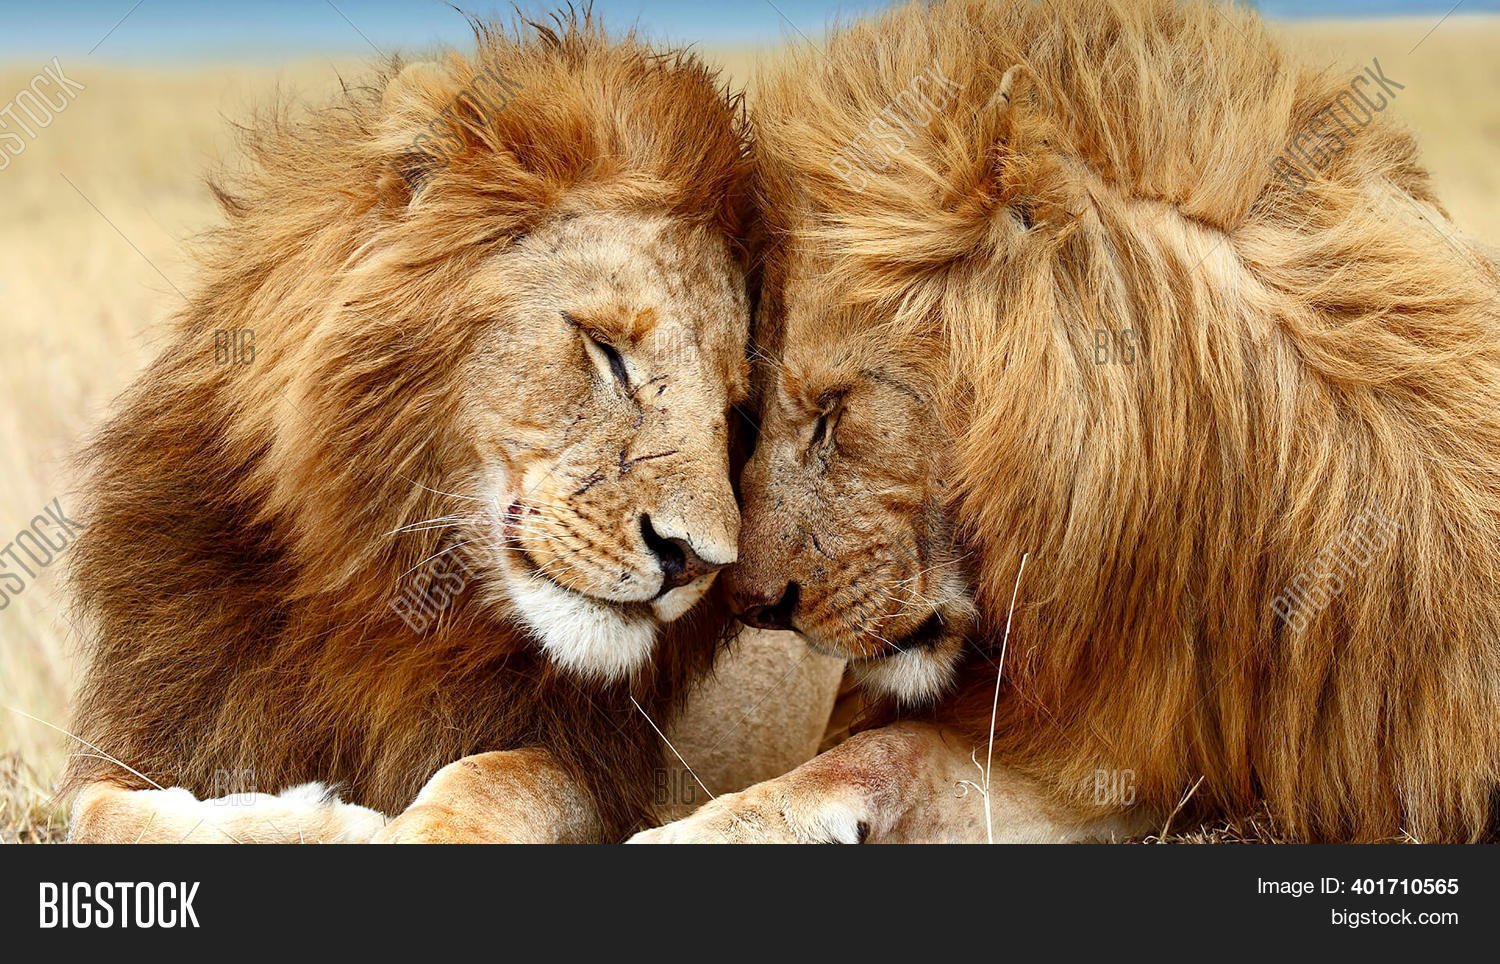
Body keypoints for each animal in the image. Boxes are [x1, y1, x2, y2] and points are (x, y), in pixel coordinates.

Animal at [63, 14, 761, 844]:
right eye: (606, 349)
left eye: (735, 410)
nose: (696, 563)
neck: (379, 586)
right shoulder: (165, 729)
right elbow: (103, 812)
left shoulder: (592, 768)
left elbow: (493, 783)